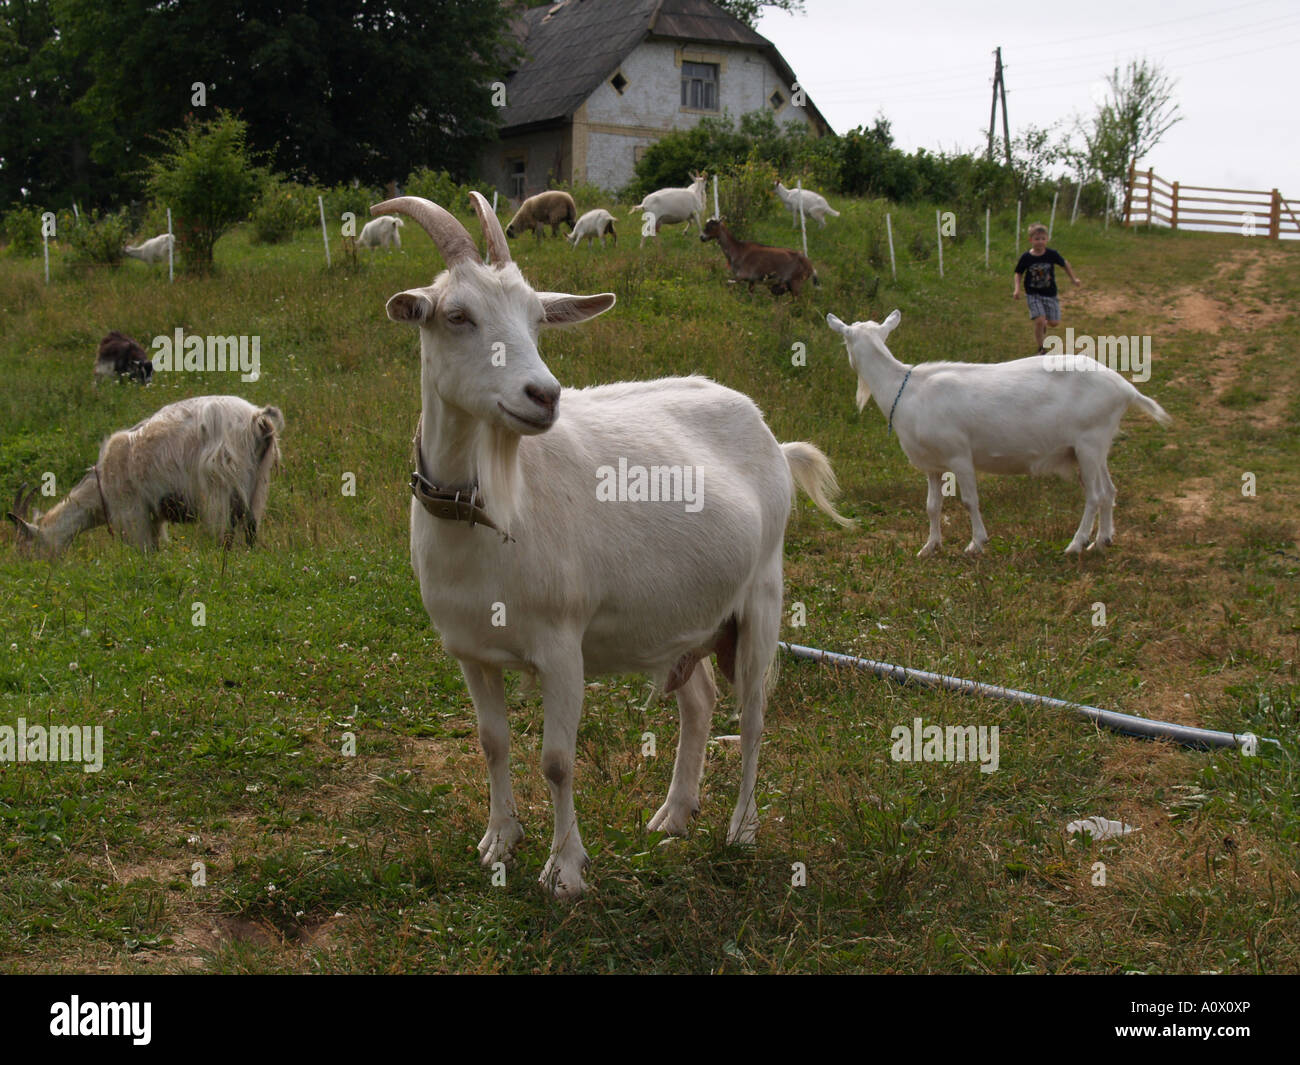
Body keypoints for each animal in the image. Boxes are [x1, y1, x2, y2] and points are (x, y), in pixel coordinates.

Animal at [8, 396, 284, 555]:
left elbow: (144, 551)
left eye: (24, 548)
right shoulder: (154, 516)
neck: (101, 485)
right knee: (251, 529)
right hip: (258, 483)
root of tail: (257, 419)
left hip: (219, 483)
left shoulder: (132, 512)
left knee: (224, 533)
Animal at [372, 192, 851, 898]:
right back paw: (674, 815)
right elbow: (492, 742)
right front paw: (499, 841)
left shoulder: (561, 645)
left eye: (538, 320)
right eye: (457, 316)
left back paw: (741, 829)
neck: (484, 511)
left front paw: (565, 870)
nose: (543, 395)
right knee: (701, 704)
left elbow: (557, 760)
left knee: (755, 715)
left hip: (762, 596)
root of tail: (770, 435)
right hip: (683, 618)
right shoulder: (470, 651)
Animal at [826, 309, 1171, 557]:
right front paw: (929, 547)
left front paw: (976, 543)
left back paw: (1076, 545)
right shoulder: (932, 464)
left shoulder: (959, 455)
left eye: (845, 341)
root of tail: (1125, 389)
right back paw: (1102, 541)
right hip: (1095, 446)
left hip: (1089, 442)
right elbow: (932, 506)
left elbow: (969, 500)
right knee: (1109, 491)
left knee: (1095, 495)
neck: (906, 389)